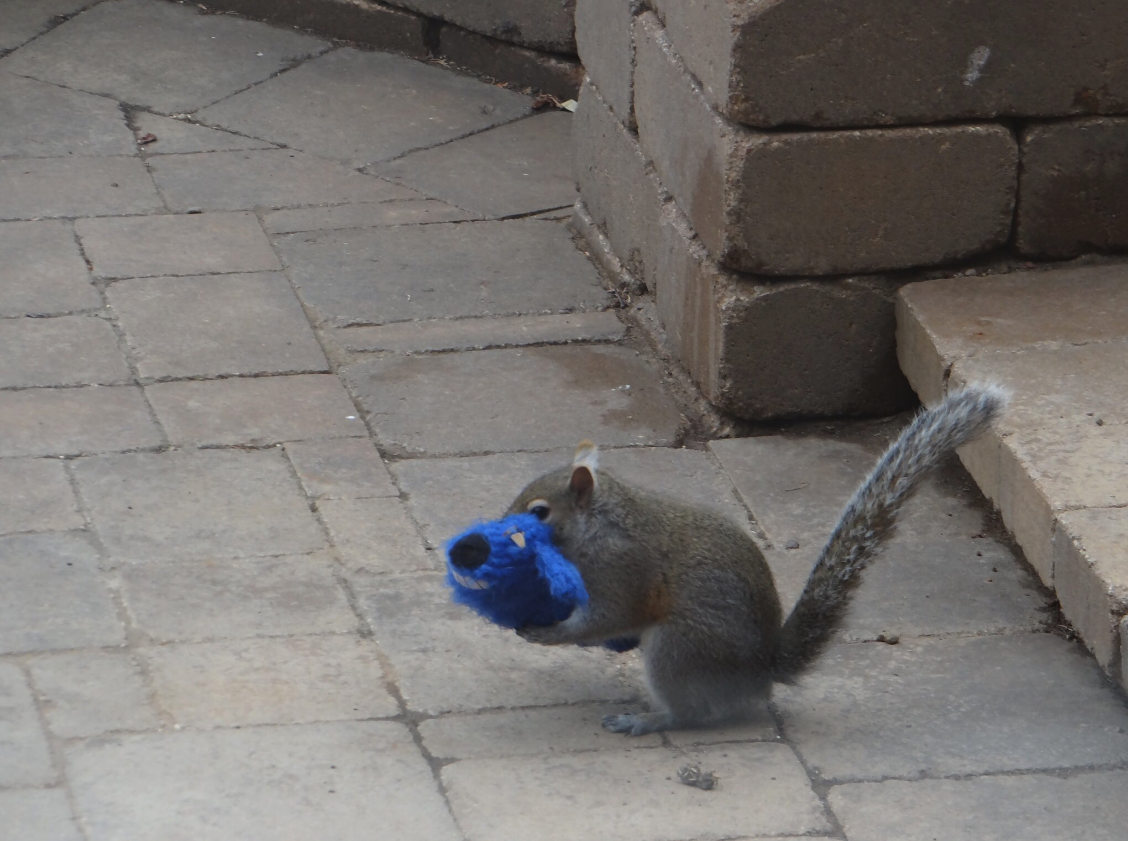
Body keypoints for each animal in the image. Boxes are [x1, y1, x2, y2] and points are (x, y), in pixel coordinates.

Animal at [504, 385, 1006, 736]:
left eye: (540, 512)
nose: (503, 529)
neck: (601, 523)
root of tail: (759, 672)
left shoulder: (622, 571)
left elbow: (607, 618)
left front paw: (549, 633)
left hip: (678, 647)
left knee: (693, 713)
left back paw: (648, 720)